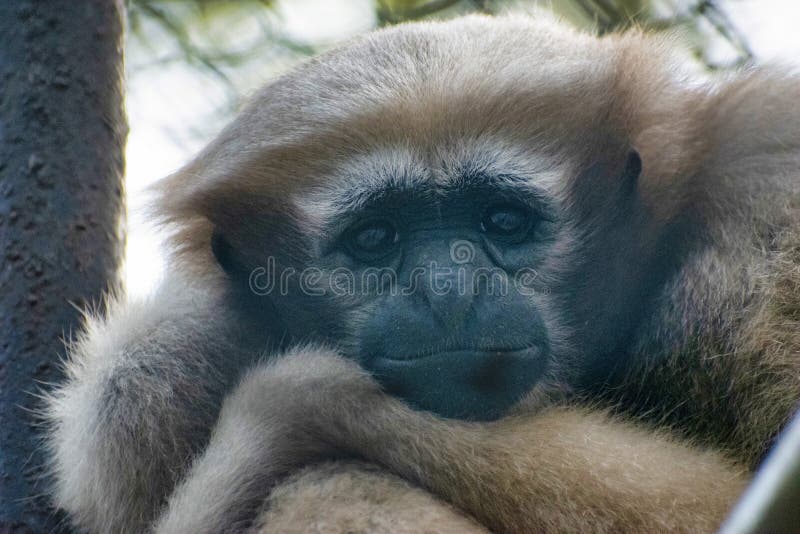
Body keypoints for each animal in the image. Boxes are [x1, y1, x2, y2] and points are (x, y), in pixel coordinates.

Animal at [43, 13, 800, 533]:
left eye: (504, 221)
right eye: (375, 239)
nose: (448, 289)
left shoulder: (760, 208)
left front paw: (290, 399)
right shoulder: (145, 388)